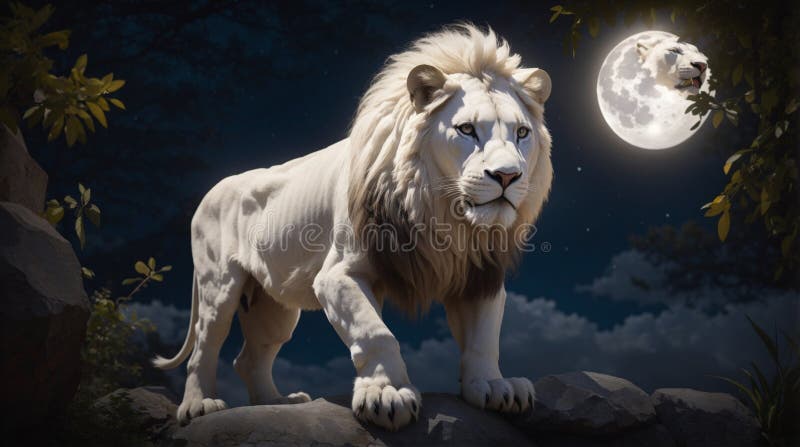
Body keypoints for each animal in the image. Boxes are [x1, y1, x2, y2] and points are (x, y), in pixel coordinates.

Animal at [153, 24, 553, 431]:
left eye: (522, 133)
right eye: (467, 129)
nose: (507, 176)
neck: (446, 217)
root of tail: (211, 191)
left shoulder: (478, 275)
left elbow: (483, 338)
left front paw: (494, 386)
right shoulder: (338, 274)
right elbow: (375, 332)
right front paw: (387, 394)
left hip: (274, 306)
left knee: (249, 358)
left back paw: (277, 402)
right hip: (218, 286)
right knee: (205, 346)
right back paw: (199, 405)